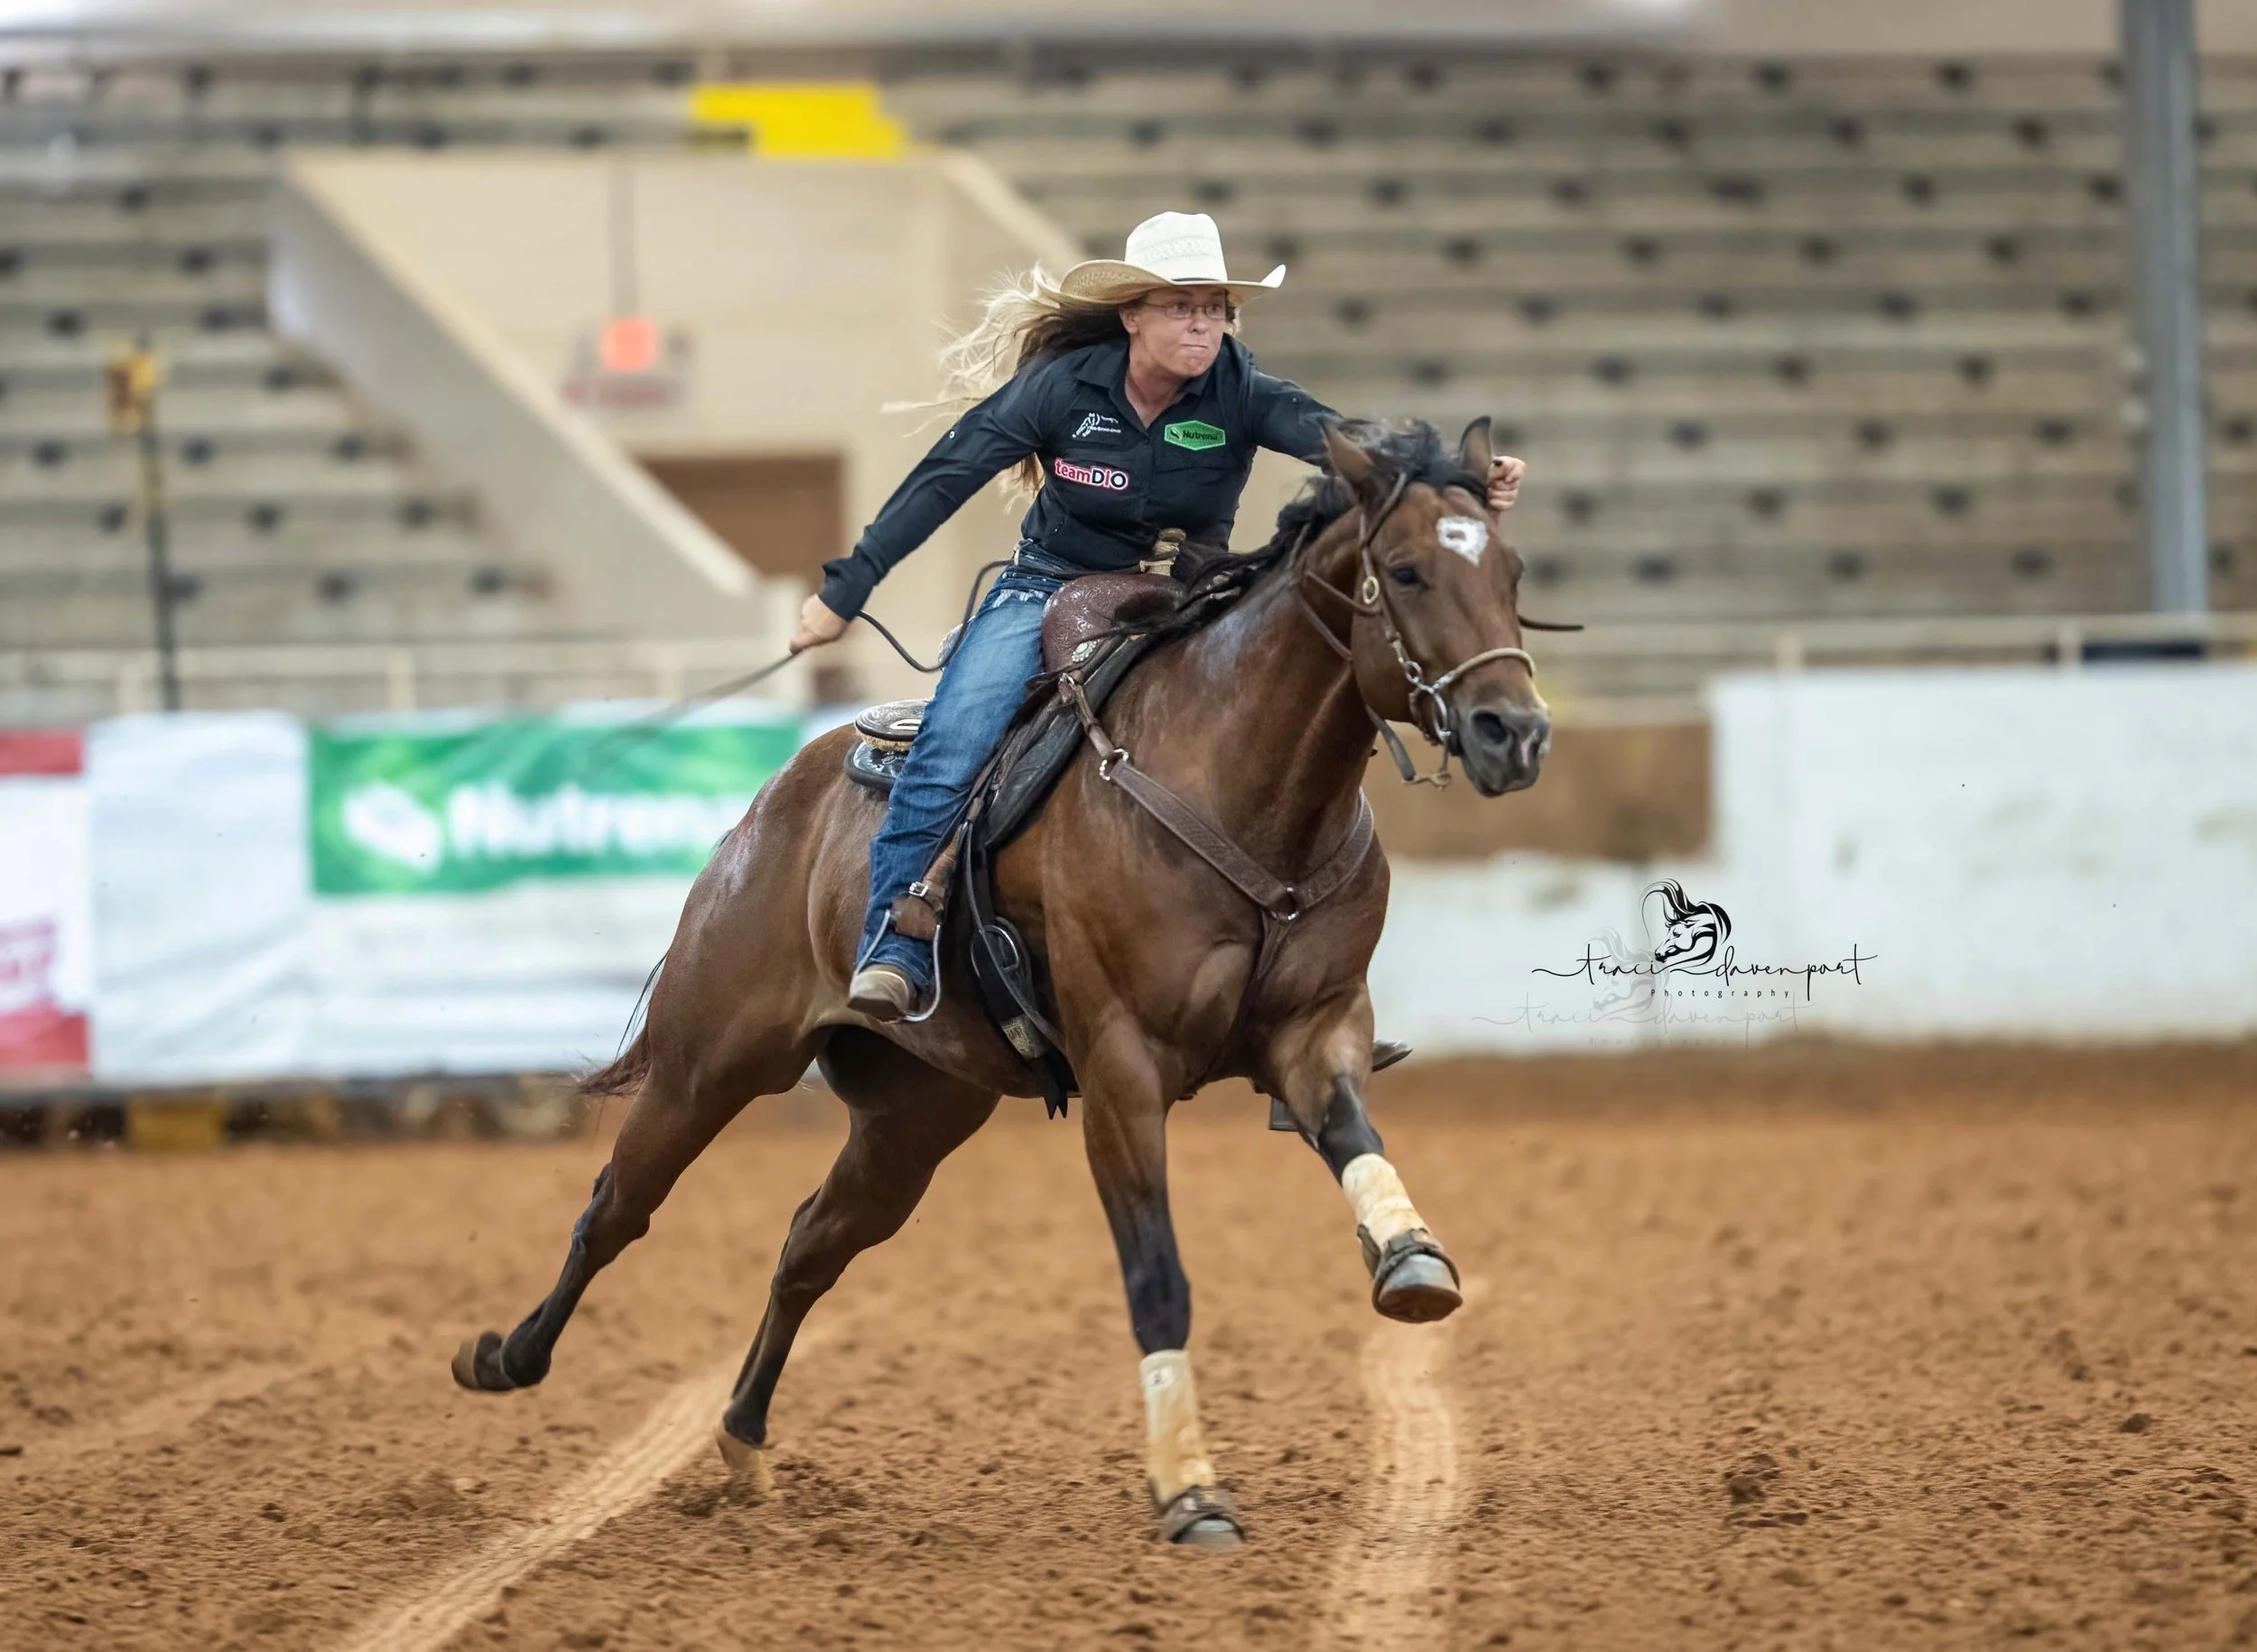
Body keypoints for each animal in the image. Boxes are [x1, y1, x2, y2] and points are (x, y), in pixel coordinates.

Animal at [449, 417, 1552, 1549]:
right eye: (1406, 570)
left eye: (1511, 571)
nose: (1514, 731)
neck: (1241, 791)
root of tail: (770, 803)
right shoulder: (1122, 1073)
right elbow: (1156, 1277)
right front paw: (1190, 1490)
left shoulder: (1317, 1031)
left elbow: (1358, 1145)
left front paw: (1412, 1260)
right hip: (706, 1064)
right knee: (616, 1209)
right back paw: (505, 1357)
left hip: (915, 1117)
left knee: (811, 1245)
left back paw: (742, 1441)